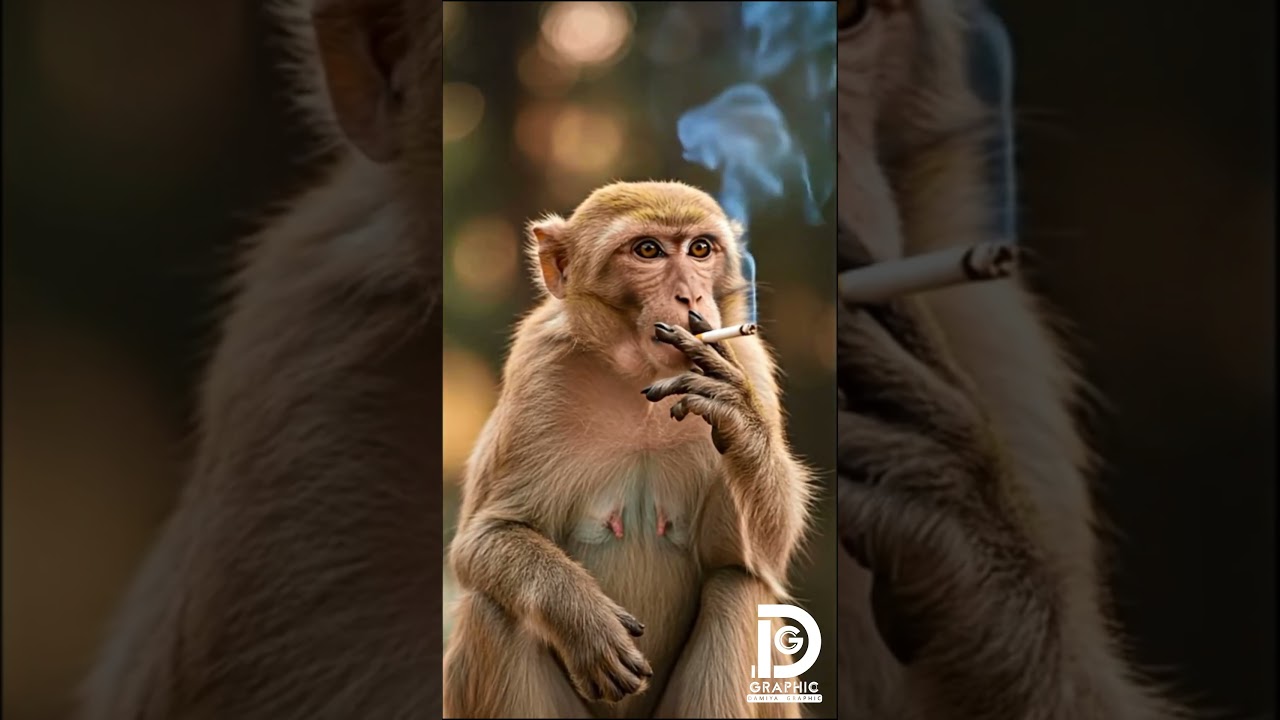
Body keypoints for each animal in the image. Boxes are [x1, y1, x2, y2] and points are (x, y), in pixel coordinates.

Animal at [442, 180, 818, 719]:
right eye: (648, 251)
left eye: (700, 249)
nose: (690, 296)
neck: (643, 382)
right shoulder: (539, 366)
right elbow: (485, 537)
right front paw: (583, 620)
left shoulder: (748, 360)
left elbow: (763, 556)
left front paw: (735, 411)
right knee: (490, 606)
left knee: (740, 588)